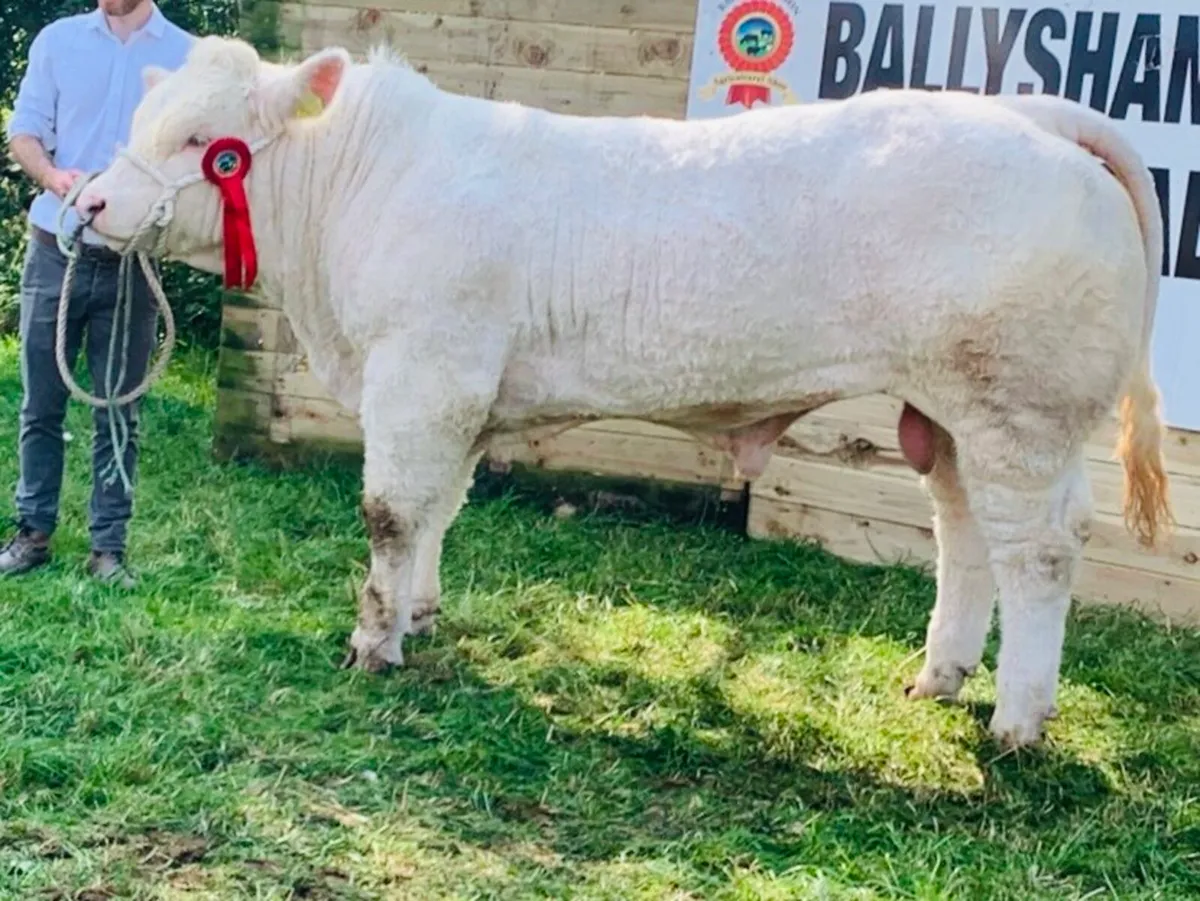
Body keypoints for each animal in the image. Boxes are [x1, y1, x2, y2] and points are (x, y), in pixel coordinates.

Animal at [72, 35, 1172, 749]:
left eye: (201, 140)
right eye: (141, 123)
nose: (88, 202)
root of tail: (1026, 114)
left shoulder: (422, 372)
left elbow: (391, 512)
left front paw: (373, 641)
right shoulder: (460, 392)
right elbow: (439, 509)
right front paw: (420, 615)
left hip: (1020, 410)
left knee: (1038, 552)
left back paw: (1018, 721)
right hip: (949, 413)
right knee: (964, 534)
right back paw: (940, 676)